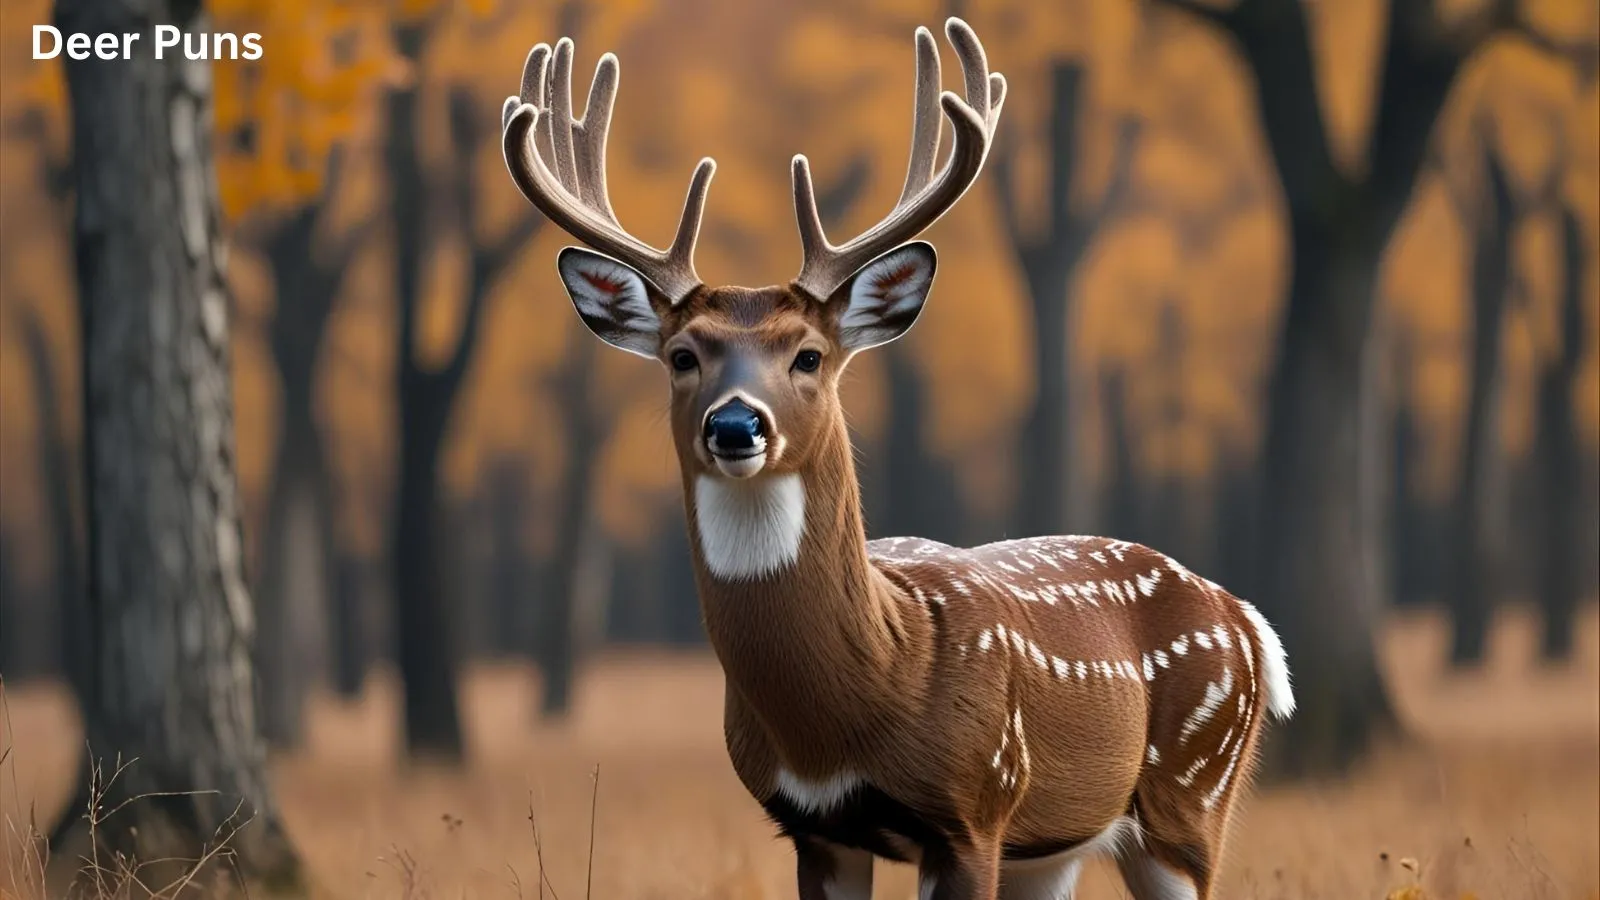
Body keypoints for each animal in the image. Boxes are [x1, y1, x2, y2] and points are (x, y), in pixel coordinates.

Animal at [500, 18, 1293, 900]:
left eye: (808, 355)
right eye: (682, 355)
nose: (735, 426)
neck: (869, 687)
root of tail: (1248, 623)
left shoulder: (974, 806)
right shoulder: (814, 831)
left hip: (1189, 792)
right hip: (1057, 850)